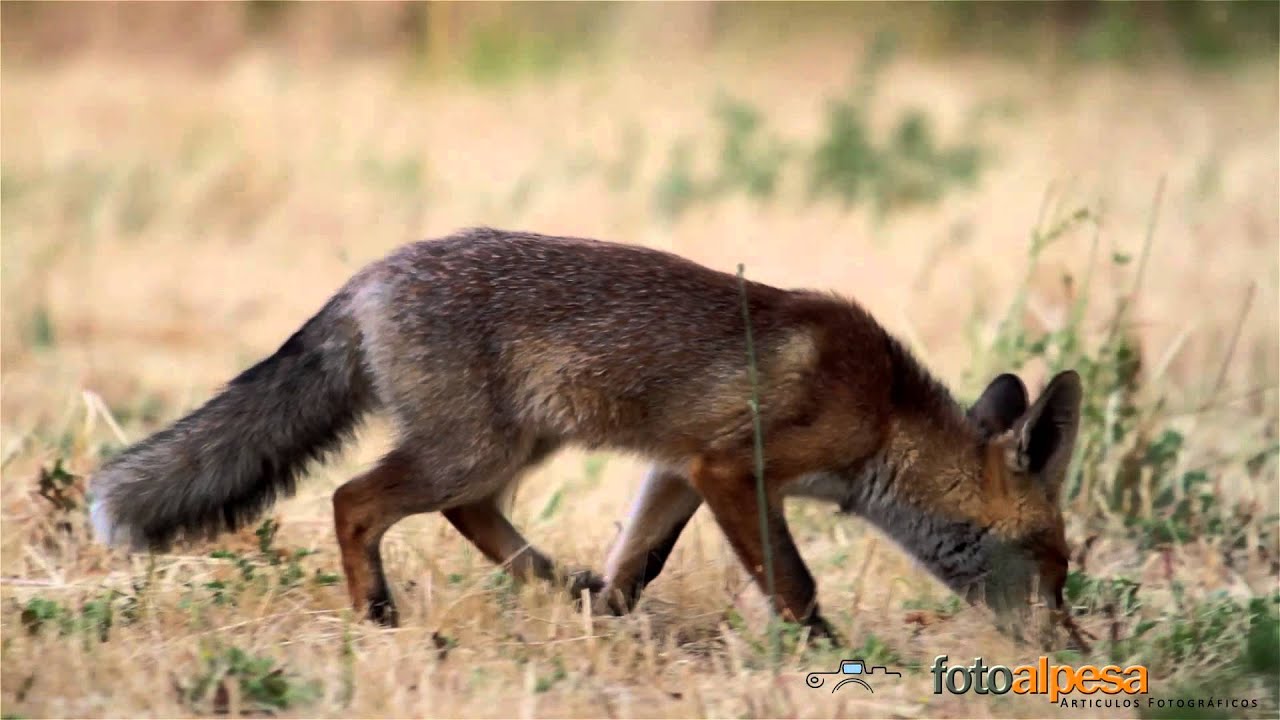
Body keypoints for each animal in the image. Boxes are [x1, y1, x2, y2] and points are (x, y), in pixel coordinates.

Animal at [90, 227, 1082, 642]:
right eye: (1054, 560)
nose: (1074, 645)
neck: (885, 411)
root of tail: (370, 275)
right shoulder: (737, 467)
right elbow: (795, 584)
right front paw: (833, 659)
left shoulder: (682, 469)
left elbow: (639, 564)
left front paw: (610, 620)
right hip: (470, 451)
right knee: (353, 499)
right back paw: (378, 615)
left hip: (507, 449)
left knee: (470, 515)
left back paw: (555, 583)